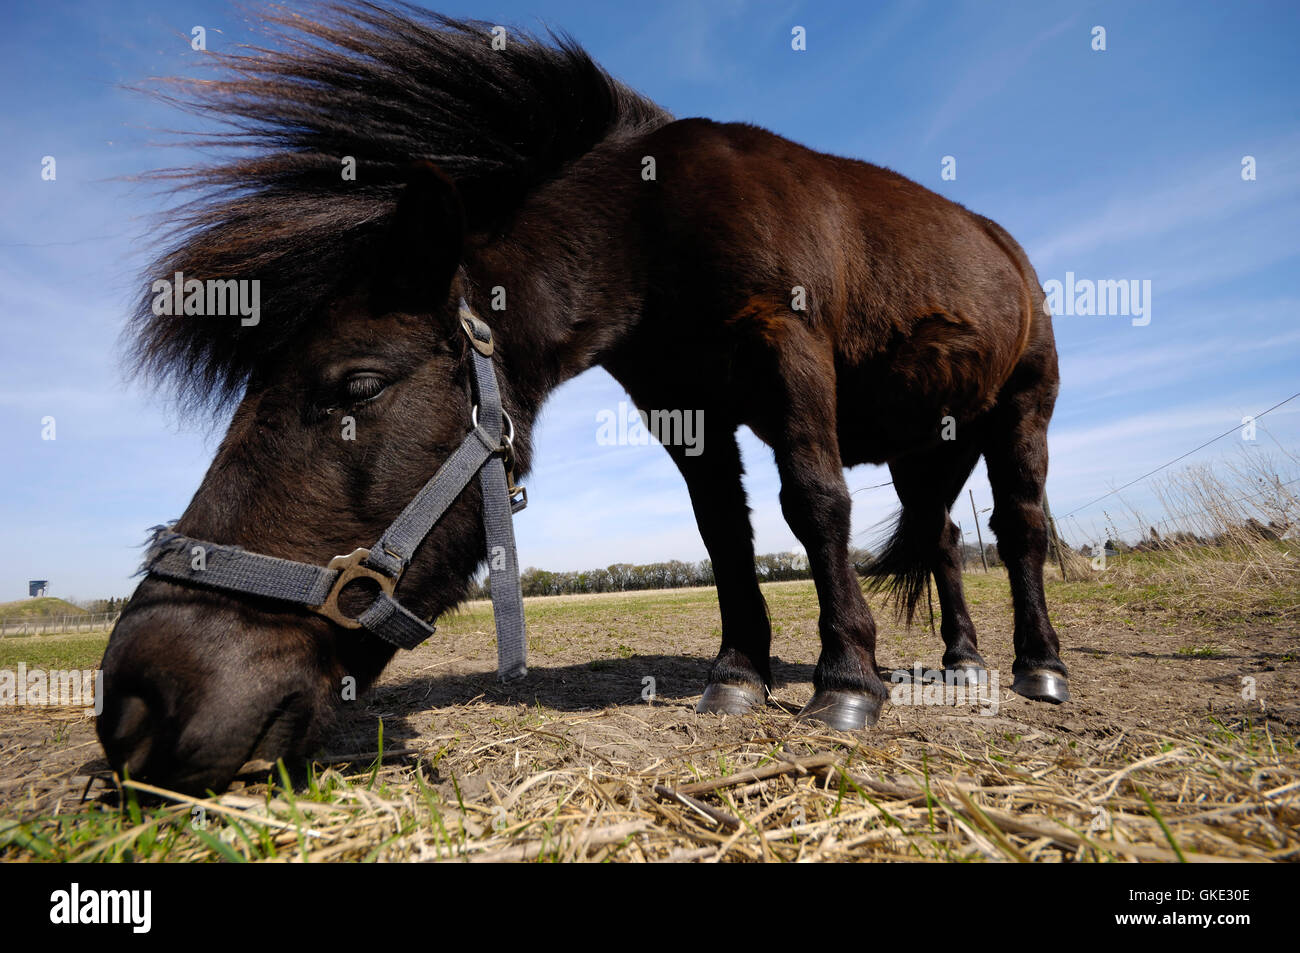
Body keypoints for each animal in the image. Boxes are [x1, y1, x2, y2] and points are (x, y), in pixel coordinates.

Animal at [98, 2, 1068, 795]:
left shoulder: (788, 352)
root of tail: (1002, 246)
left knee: (1017, 526)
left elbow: (814, 505)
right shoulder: (680, 405)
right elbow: (725, 533)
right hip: (926, 443)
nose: (134, 699)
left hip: (1024, 408)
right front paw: (738, 673)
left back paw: (1039, 667)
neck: (656, 222)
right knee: (945, 539)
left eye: (358, 383)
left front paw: (847, 682)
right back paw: (962, 660)